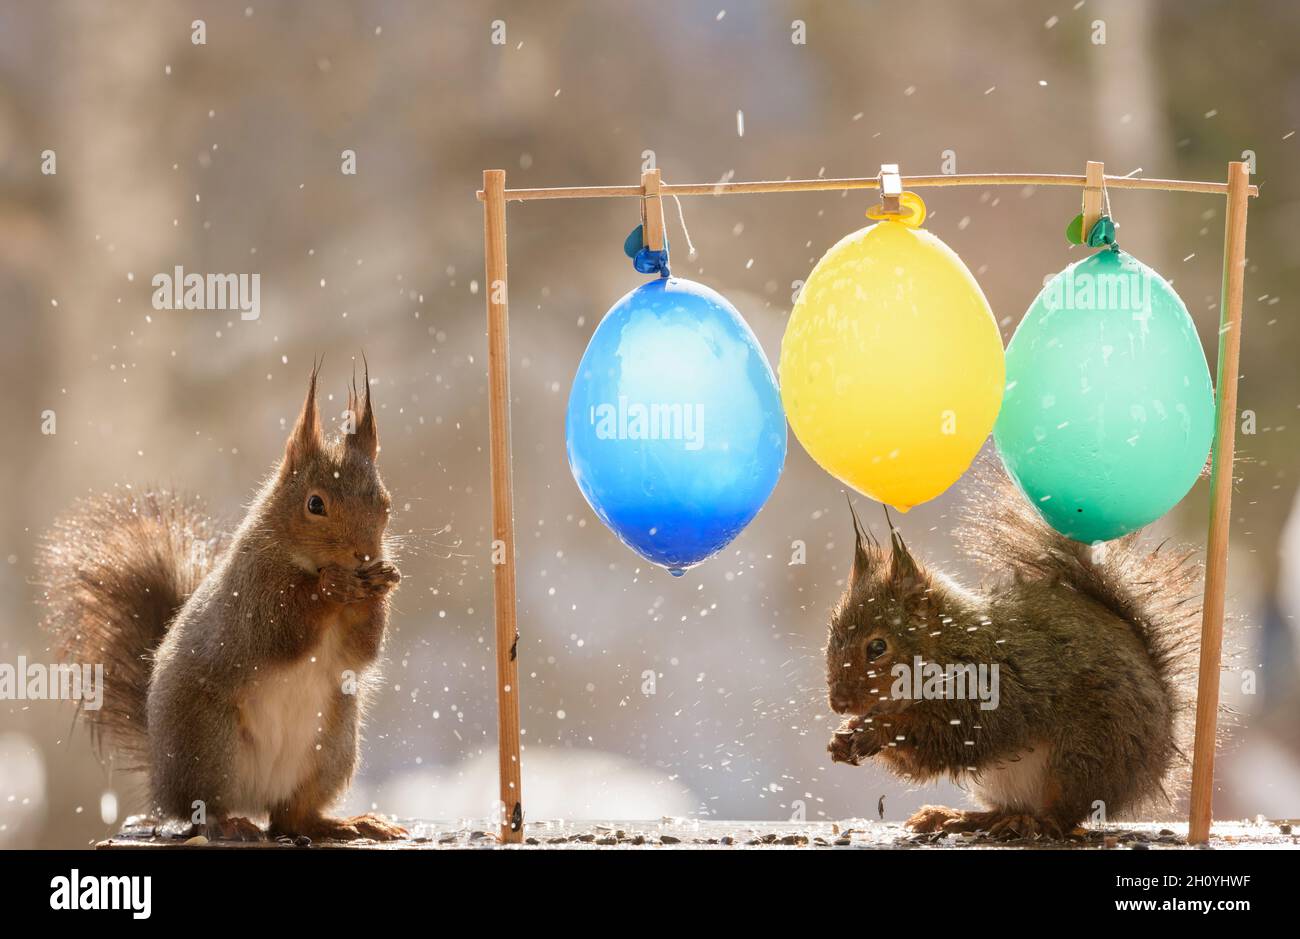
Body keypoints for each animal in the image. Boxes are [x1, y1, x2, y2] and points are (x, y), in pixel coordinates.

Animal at [38, 362, 405, 842]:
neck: (302, 560)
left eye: (385, 502)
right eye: (315, 504)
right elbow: (281, 629)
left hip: (332, 745)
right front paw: (331, 588)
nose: (365, 555)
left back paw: (348, 823)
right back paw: (230, 822)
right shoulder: (249, 595)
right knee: (203, 809)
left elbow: (360, 650)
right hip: (209, 743)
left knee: (292, 817)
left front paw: (382, 583)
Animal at [826, 462, 1213, 840]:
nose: (838, 703)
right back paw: (960, 817)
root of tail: (1151, 768)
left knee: (1062, 816)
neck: (949, 644)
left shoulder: (994, 688)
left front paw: (875, 731)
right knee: (1007, 808)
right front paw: (843, 737)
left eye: (877, 647)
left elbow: (951, 738)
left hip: (1080, 757)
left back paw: (1029, 823)